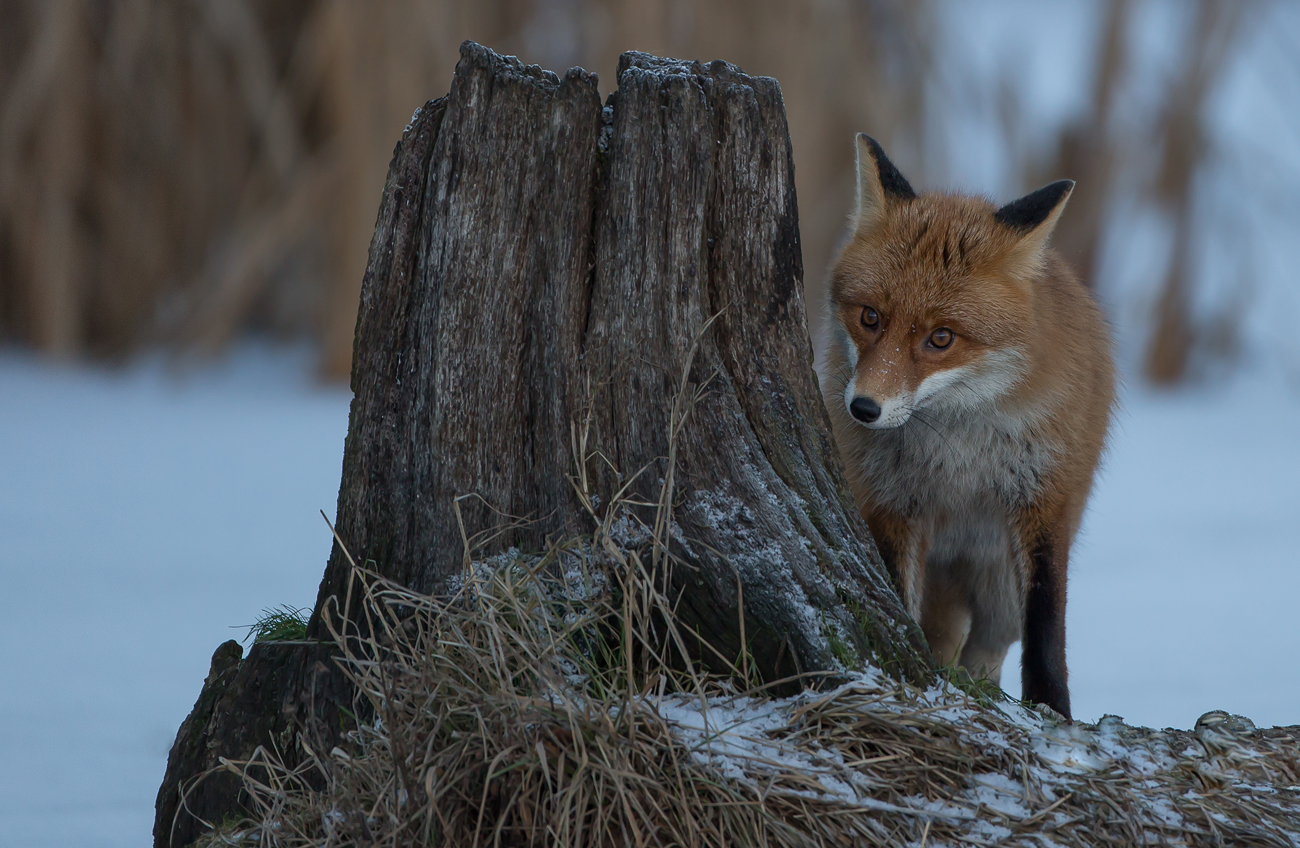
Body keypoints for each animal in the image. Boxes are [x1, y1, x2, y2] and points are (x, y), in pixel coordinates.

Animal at [819, 134, 1115, 720]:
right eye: (869, 317)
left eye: (941, 338)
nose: (863, 408)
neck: (958, 446)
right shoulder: (891, 503)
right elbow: (898, 597)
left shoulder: (1045, 501)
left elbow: (1046, 624)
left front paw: (1052, 708)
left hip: (997, 588)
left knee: (988, 649)